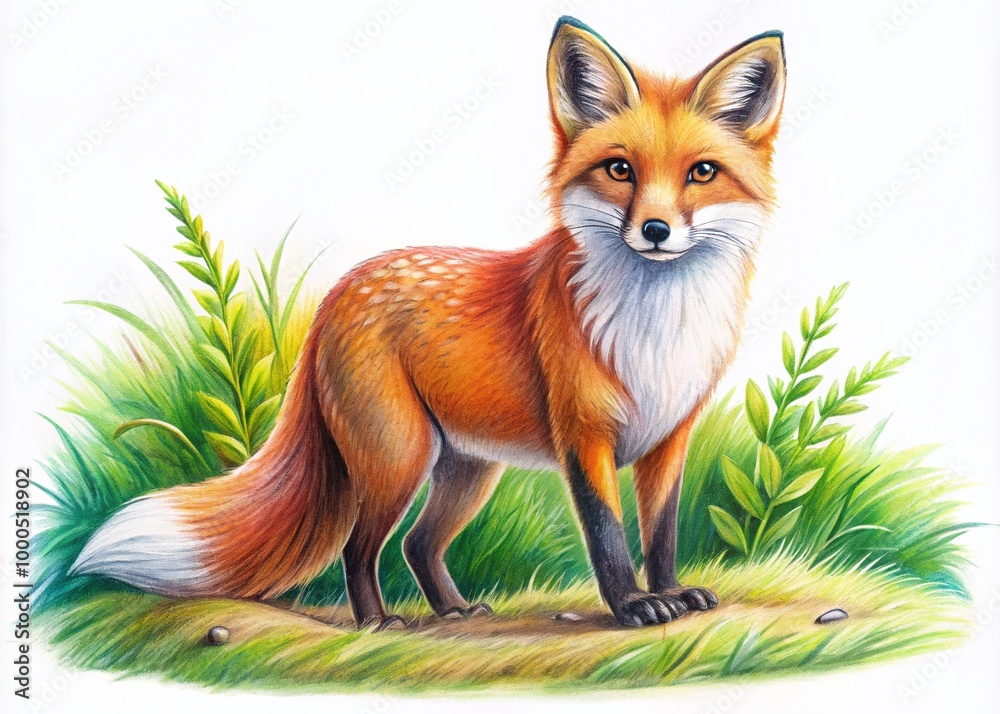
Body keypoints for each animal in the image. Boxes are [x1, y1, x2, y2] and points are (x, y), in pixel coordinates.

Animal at [71, 17, 786, 629]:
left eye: (701, 173)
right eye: (620, 169)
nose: (656, 230)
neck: (658, 329)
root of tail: (338, 293)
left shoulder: (670, 438)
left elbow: (661, 536)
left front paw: (670, 593)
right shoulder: (584, 436)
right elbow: (609, 536)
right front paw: (634, 607)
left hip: (467, 471)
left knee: (416, 544)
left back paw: (453, 610)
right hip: (400, 456)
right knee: (360, 547)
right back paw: (375, 621)